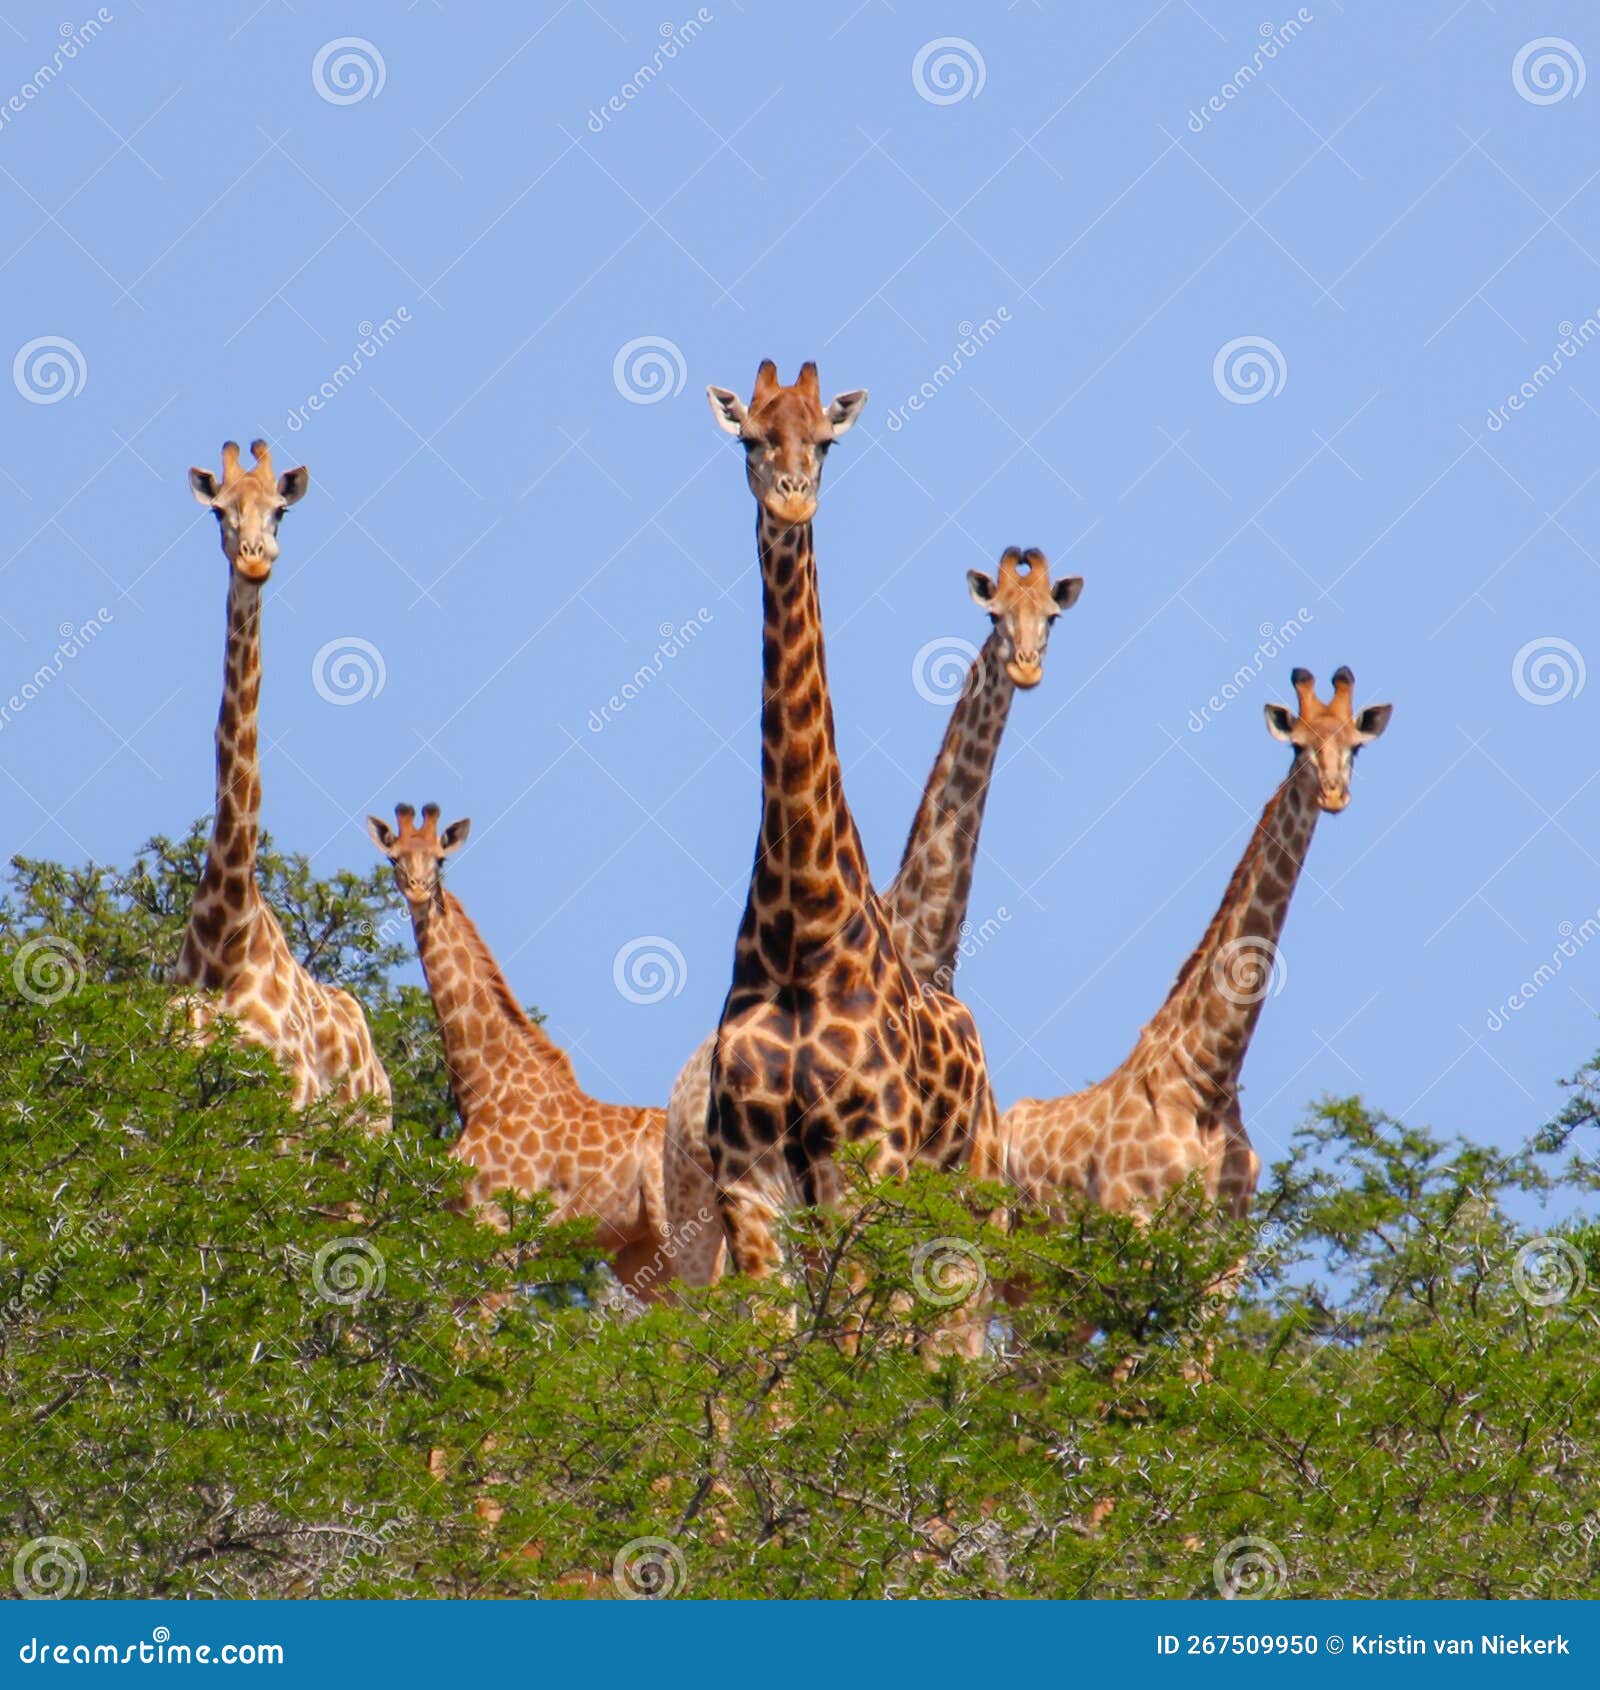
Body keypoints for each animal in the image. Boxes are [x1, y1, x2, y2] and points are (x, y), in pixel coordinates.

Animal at [367, 804, 686, 1298]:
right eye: (393, 858)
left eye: (440, 859)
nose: (418, 890)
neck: (485, 1089)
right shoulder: (465, 1227)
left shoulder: (504, 1231)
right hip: (642, 1255)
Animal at [700, 360, 1001, 1279]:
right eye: (750, 439)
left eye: (826, 441)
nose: (794, 501)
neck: (802, 930)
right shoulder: (749, 1178)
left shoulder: (866, 1163)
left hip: (969, 1201)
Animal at [1000, 666, 1392, 1223]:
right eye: (1298, 745)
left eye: (1355, 746)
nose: (1334, 796)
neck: (1210, 1078)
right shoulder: (1132, 1209)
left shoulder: (1227, 1230)